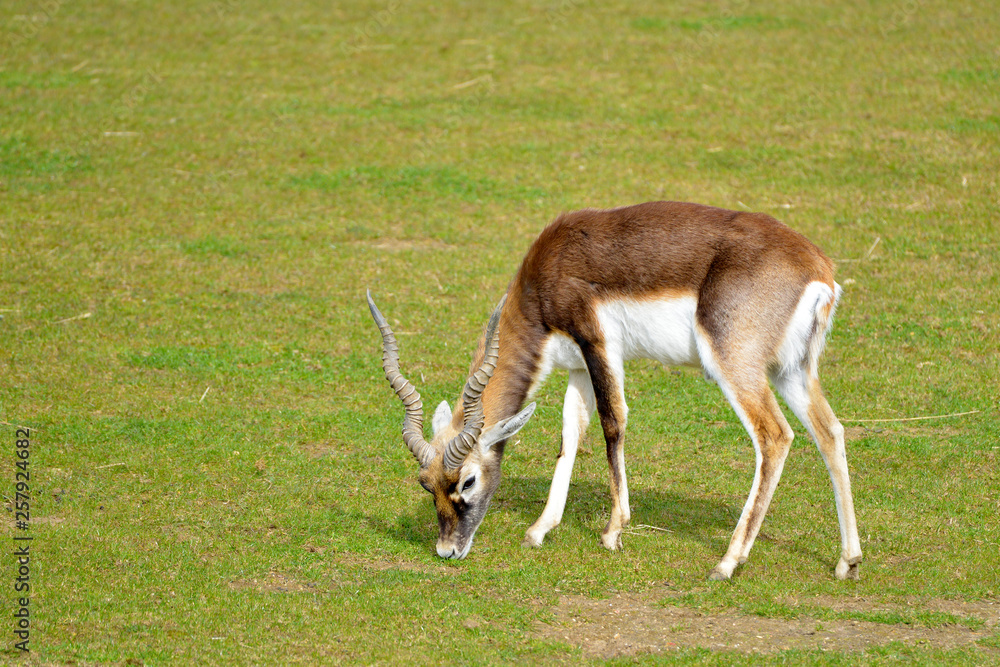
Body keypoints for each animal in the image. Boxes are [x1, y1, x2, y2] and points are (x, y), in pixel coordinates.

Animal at [367, 200, 862, 580]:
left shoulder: (598, 344)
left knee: (775, 437)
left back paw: (727, 562)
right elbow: (570, 435)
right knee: (831, 432)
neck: (549, 274)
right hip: (790, 372)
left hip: (735, 366)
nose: (447, 550)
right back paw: (848, 562)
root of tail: (817, 270)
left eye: (467, 480)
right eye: (425, 484)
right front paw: (540, 529)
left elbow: (612, 422)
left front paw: (612, 532)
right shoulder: (576, 366)